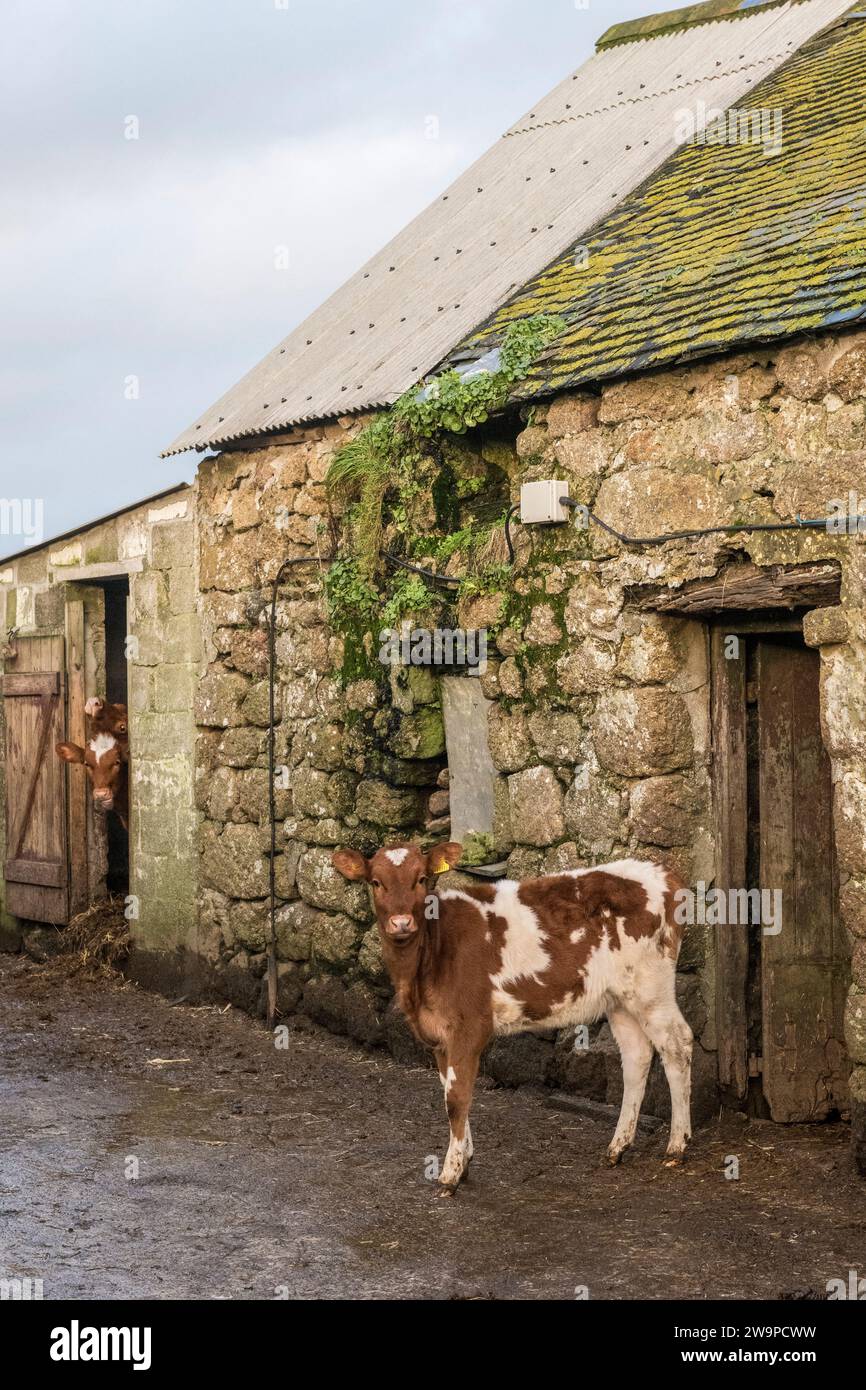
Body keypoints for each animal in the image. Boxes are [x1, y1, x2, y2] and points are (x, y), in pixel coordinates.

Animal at [332, 841, 692, 1193]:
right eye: (375, 882)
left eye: (420, 879)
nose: (402, 922)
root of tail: (662, 872)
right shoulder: (438, 1036)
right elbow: (449, 1089)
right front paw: (464, 1159)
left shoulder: (469, 1027)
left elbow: (456, 1098)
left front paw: (450, 1174)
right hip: (619, 998)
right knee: (636, 1057)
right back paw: (618, 1147)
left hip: (651, 988)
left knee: (677, 1044)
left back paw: (677, 1145)